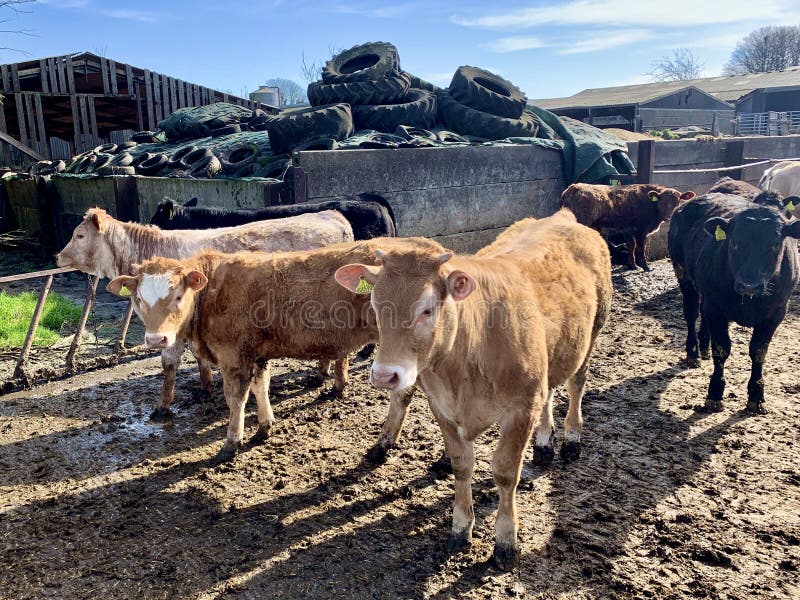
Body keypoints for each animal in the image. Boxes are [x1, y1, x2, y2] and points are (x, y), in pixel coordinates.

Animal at [56, 208, 354, 419]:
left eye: (79, 235)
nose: (57, 256)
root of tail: (332, 215)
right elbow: (199, 357)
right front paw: (205, 387)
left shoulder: (172, 332)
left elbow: (169, 364)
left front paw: (163, 407)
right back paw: (320, 374)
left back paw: (336, 384)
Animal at [105, 237, 442, 462]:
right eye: (138, 299)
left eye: (177, 296)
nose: (156, 340)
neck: (211, 293)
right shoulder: (254, 353)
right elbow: (260, 386)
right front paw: (265, 427)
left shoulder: (233, 357)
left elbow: (236, 399)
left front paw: (232, 442)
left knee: (404, 394)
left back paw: (384, 444)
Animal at [334, 210, 612, 570]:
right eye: (376, 303)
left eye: (427, 309)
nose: (384, 376)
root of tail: (561, 216)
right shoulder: (442, 407)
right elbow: (462, 464)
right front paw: (460, 527)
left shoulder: (521, 407)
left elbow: (505, 472)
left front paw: (506, 541)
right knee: (551, 391)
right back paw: (544, 442)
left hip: (592, 334)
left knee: (576, 384)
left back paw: (571, 438)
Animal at [561, 183, 696, 271]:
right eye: (662, 202)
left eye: (677, 202)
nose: (669, 217)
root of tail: (576, 186)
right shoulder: (641, 230)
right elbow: (641, 248)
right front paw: (645, 267)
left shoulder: (628, 230)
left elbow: (631, 246)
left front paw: (632, 265)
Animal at [668, 192, 800, 414]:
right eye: (735, 241)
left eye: (775, 243)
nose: (749, 285)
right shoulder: (716, 307)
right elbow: (721, 349)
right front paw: (714, 394)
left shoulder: (776, 312)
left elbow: (759, 351)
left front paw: (756, 397)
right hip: (683, 273)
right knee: (692, 313)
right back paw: (693, 353)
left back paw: (704, 347)